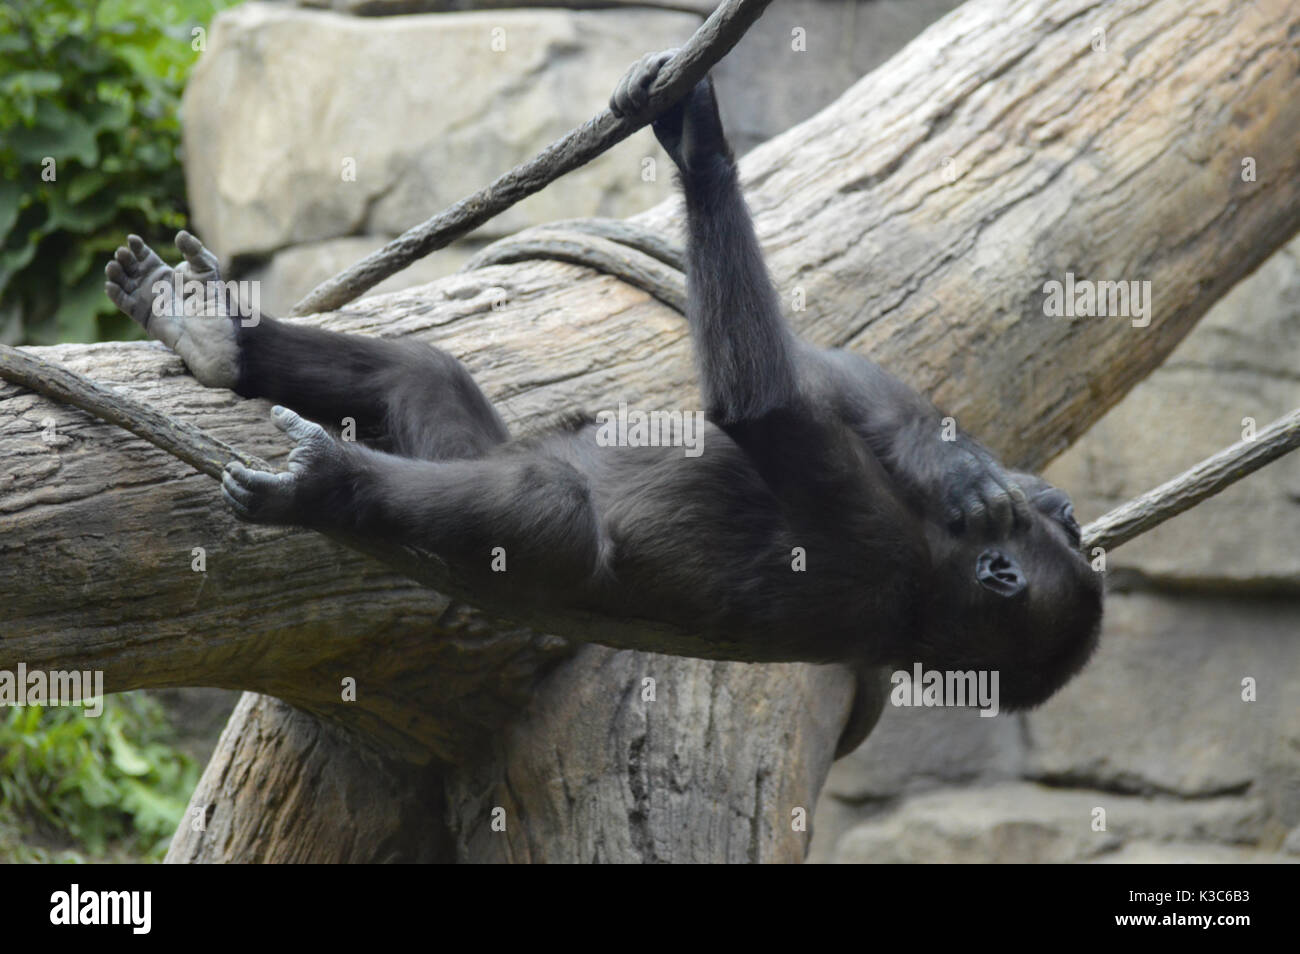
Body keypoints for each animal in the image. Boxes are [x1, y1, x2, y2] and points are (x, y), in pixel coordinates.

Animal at [104, 51, 1101, 712]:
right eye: (1062, 529)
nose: (1052, 513)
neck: (935, 579)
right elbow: (830, 373)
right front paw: (966, 470)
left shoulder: (866, 532)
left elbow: (766, 397)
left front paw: (701, 142)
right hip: (457, 437)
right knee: (427, 373)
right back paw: (211, 332)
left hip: (527, 560)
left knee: (537, 504)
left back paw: (328, 486)